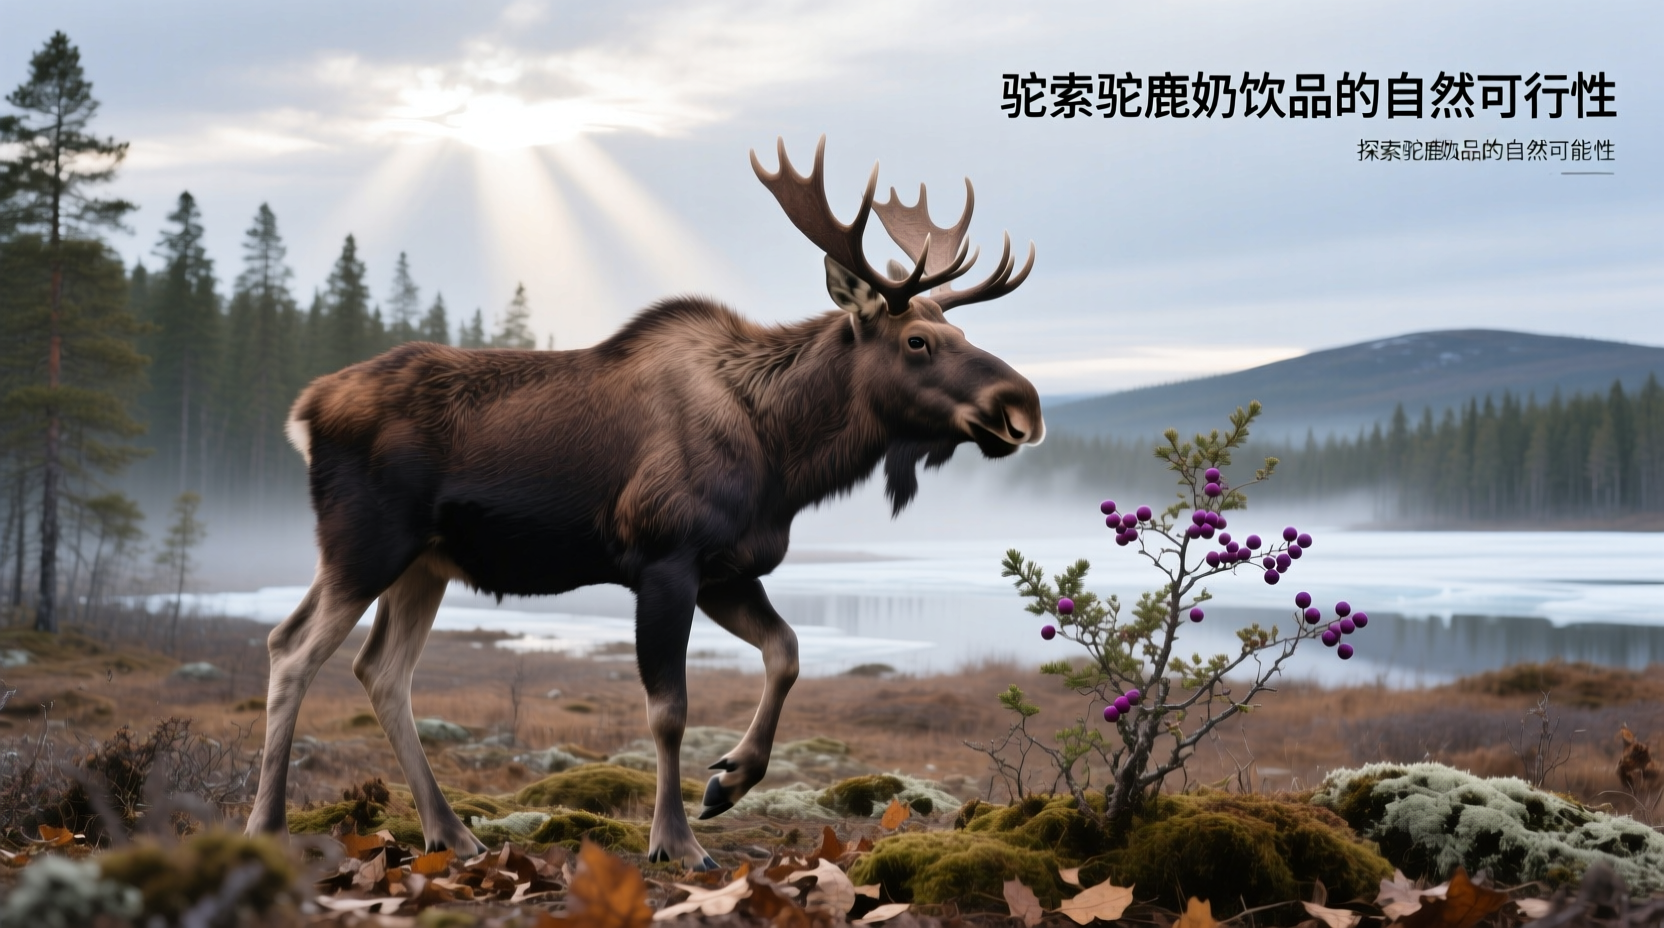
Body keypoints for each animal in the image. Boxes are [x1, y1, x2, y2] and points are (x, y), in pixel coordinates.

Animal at [245, 137, 1043, 869]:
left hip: (425, 563)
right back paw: (269, 826)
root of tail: (303, 411)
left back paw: (452, 832)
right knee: (292, 648)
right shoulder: (664, 559)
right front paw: (677, 839)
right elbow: (669, 711)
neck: (782, 456)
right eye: (917, 341)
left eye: (961, 331)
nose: (1022, 406)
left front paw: (730, 781)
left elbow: (786, 651)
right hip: (365, 542)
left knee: (381, 671)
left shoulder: (726, 568)